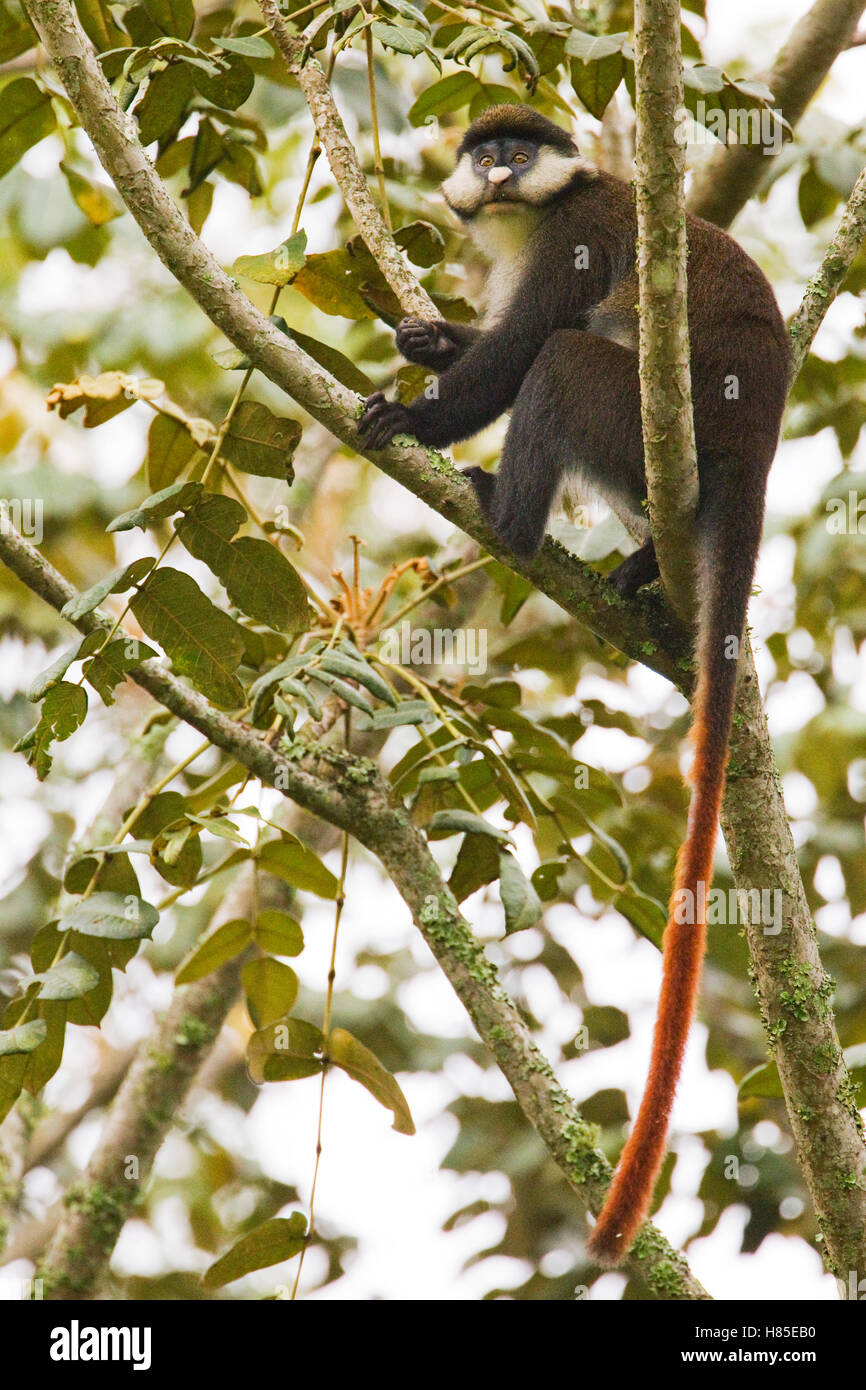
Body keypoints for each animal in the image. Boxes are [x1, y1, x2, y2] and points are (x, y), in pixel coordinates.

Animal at [359, 103, 790, 1267]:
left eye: (519, 154)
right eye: (485, 156)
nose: (499, 174)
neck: (537, 211)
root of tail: (752, 449)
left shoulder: (577, 240)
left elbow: (514, 361)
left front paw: (418, 418)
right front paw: (428, 339)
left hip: (636, 424)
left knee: (561, 361)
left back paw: (505, 521)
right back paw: (642, 572)